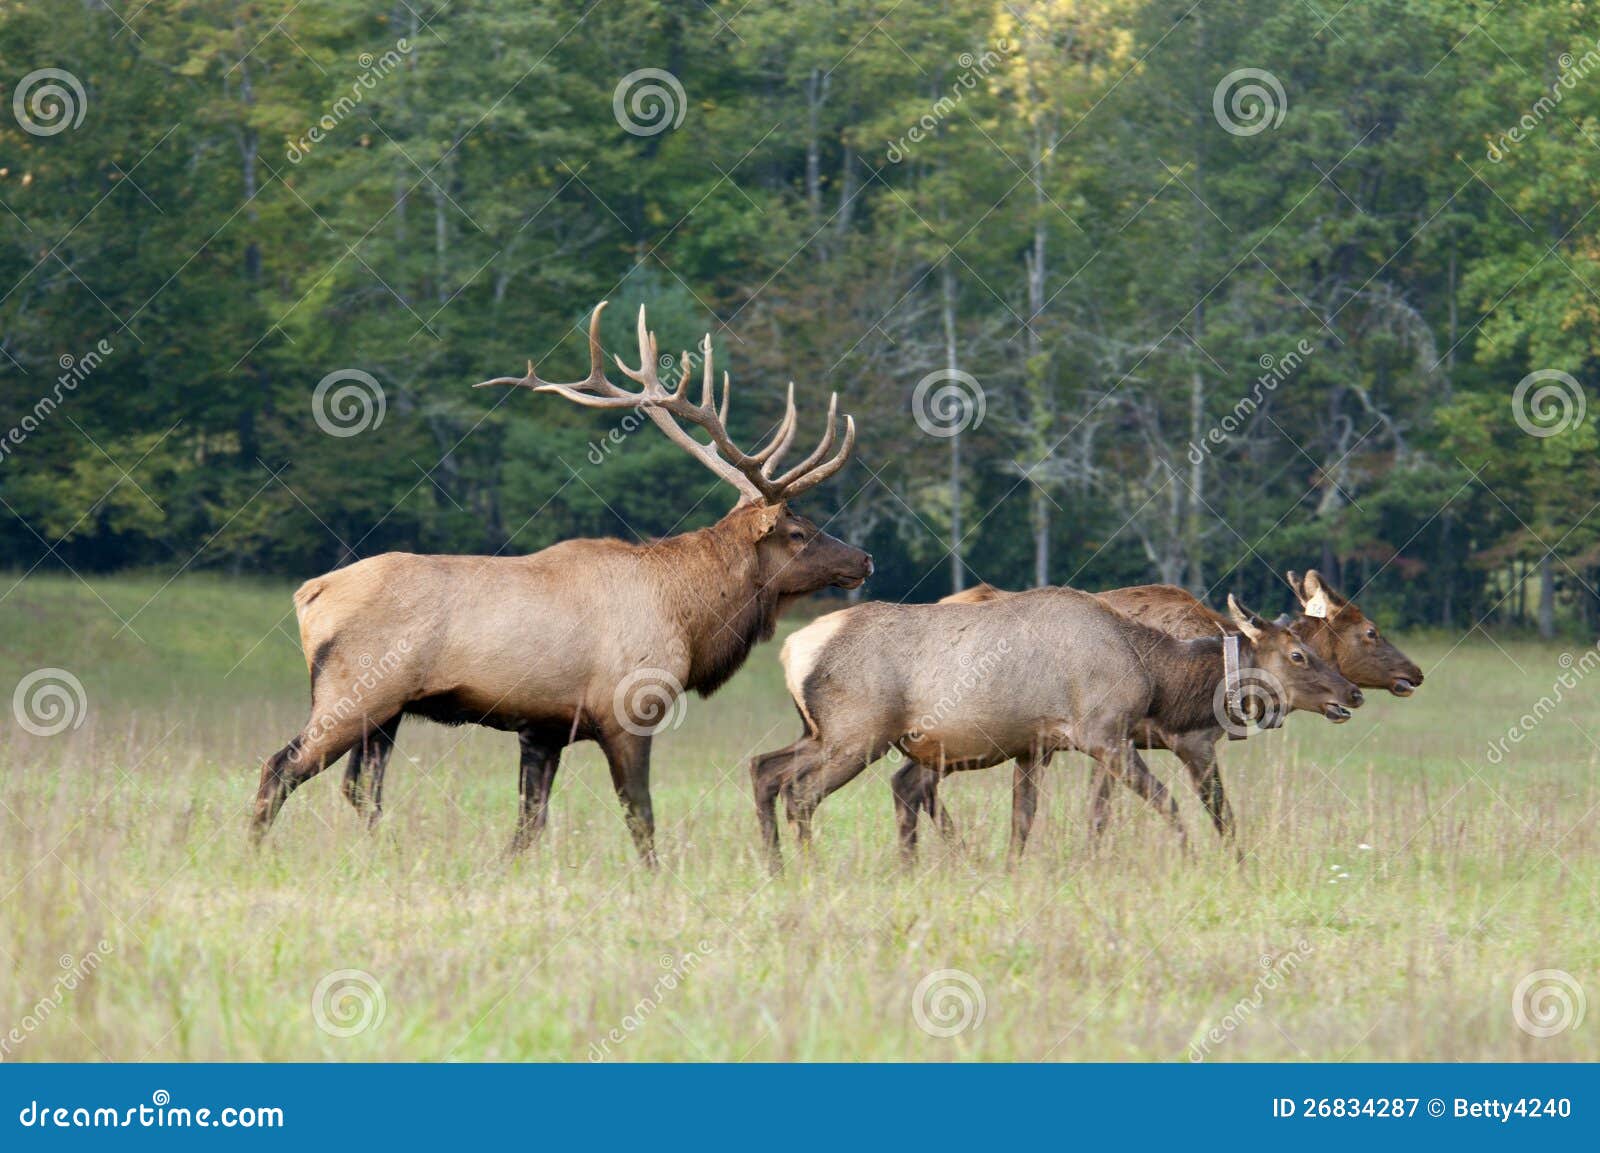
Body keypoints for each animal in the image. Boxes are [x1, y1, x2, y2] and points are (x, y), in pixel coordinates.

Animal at [252, 302, 873, 865]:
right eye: (798, 531)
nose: (864, 559)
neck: (689, 619)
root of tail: (309, 594)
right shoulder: (628, 708)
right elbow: (640, 814)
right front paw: (655, 879)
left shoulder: (542, 728)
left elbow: (529, 824)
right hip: (356, 691)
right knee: (281, 766)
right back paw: (255, 852)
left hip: (387, 712)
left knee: (360, 787)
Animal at [749, 587, 1360, 868]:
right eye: (1299, 655)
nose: (1351, 694)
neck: (1158, 679)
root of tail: (790, 649)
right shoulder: (1104, 733)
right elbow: (1166, 800)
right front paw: (1191, 859)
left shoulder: (1036, 746)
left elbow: (1025, 819)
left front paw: (1014, 871)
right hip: (858, 732)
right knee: (801, 792)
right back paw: (810, 868)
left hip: (827, 733)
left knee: (764, 769)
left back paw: (782, 868)